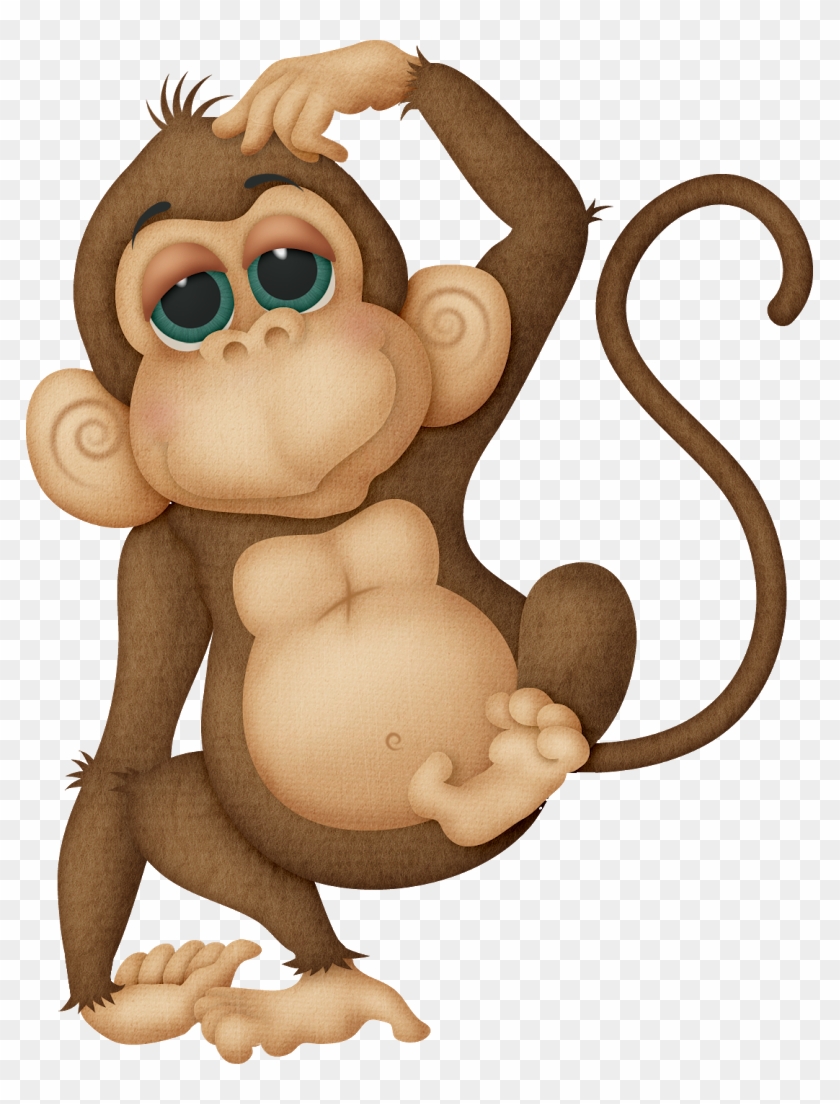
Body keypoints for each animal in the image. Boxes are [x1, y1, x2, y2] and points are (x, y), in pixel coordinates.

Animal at [25, 42, 812, 1063]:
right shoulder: (151, 558)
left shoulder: (444, 432)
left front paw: (341, 76)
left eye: (289, 271)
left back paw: (518, 768)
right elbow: (123, 759)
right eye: (189, 304)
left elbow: (547, 230)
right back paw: (323, 987)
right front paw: (125, 1008)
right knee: (170, 798)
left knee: (585, 591)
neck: (308, 515)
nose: (261, 340)